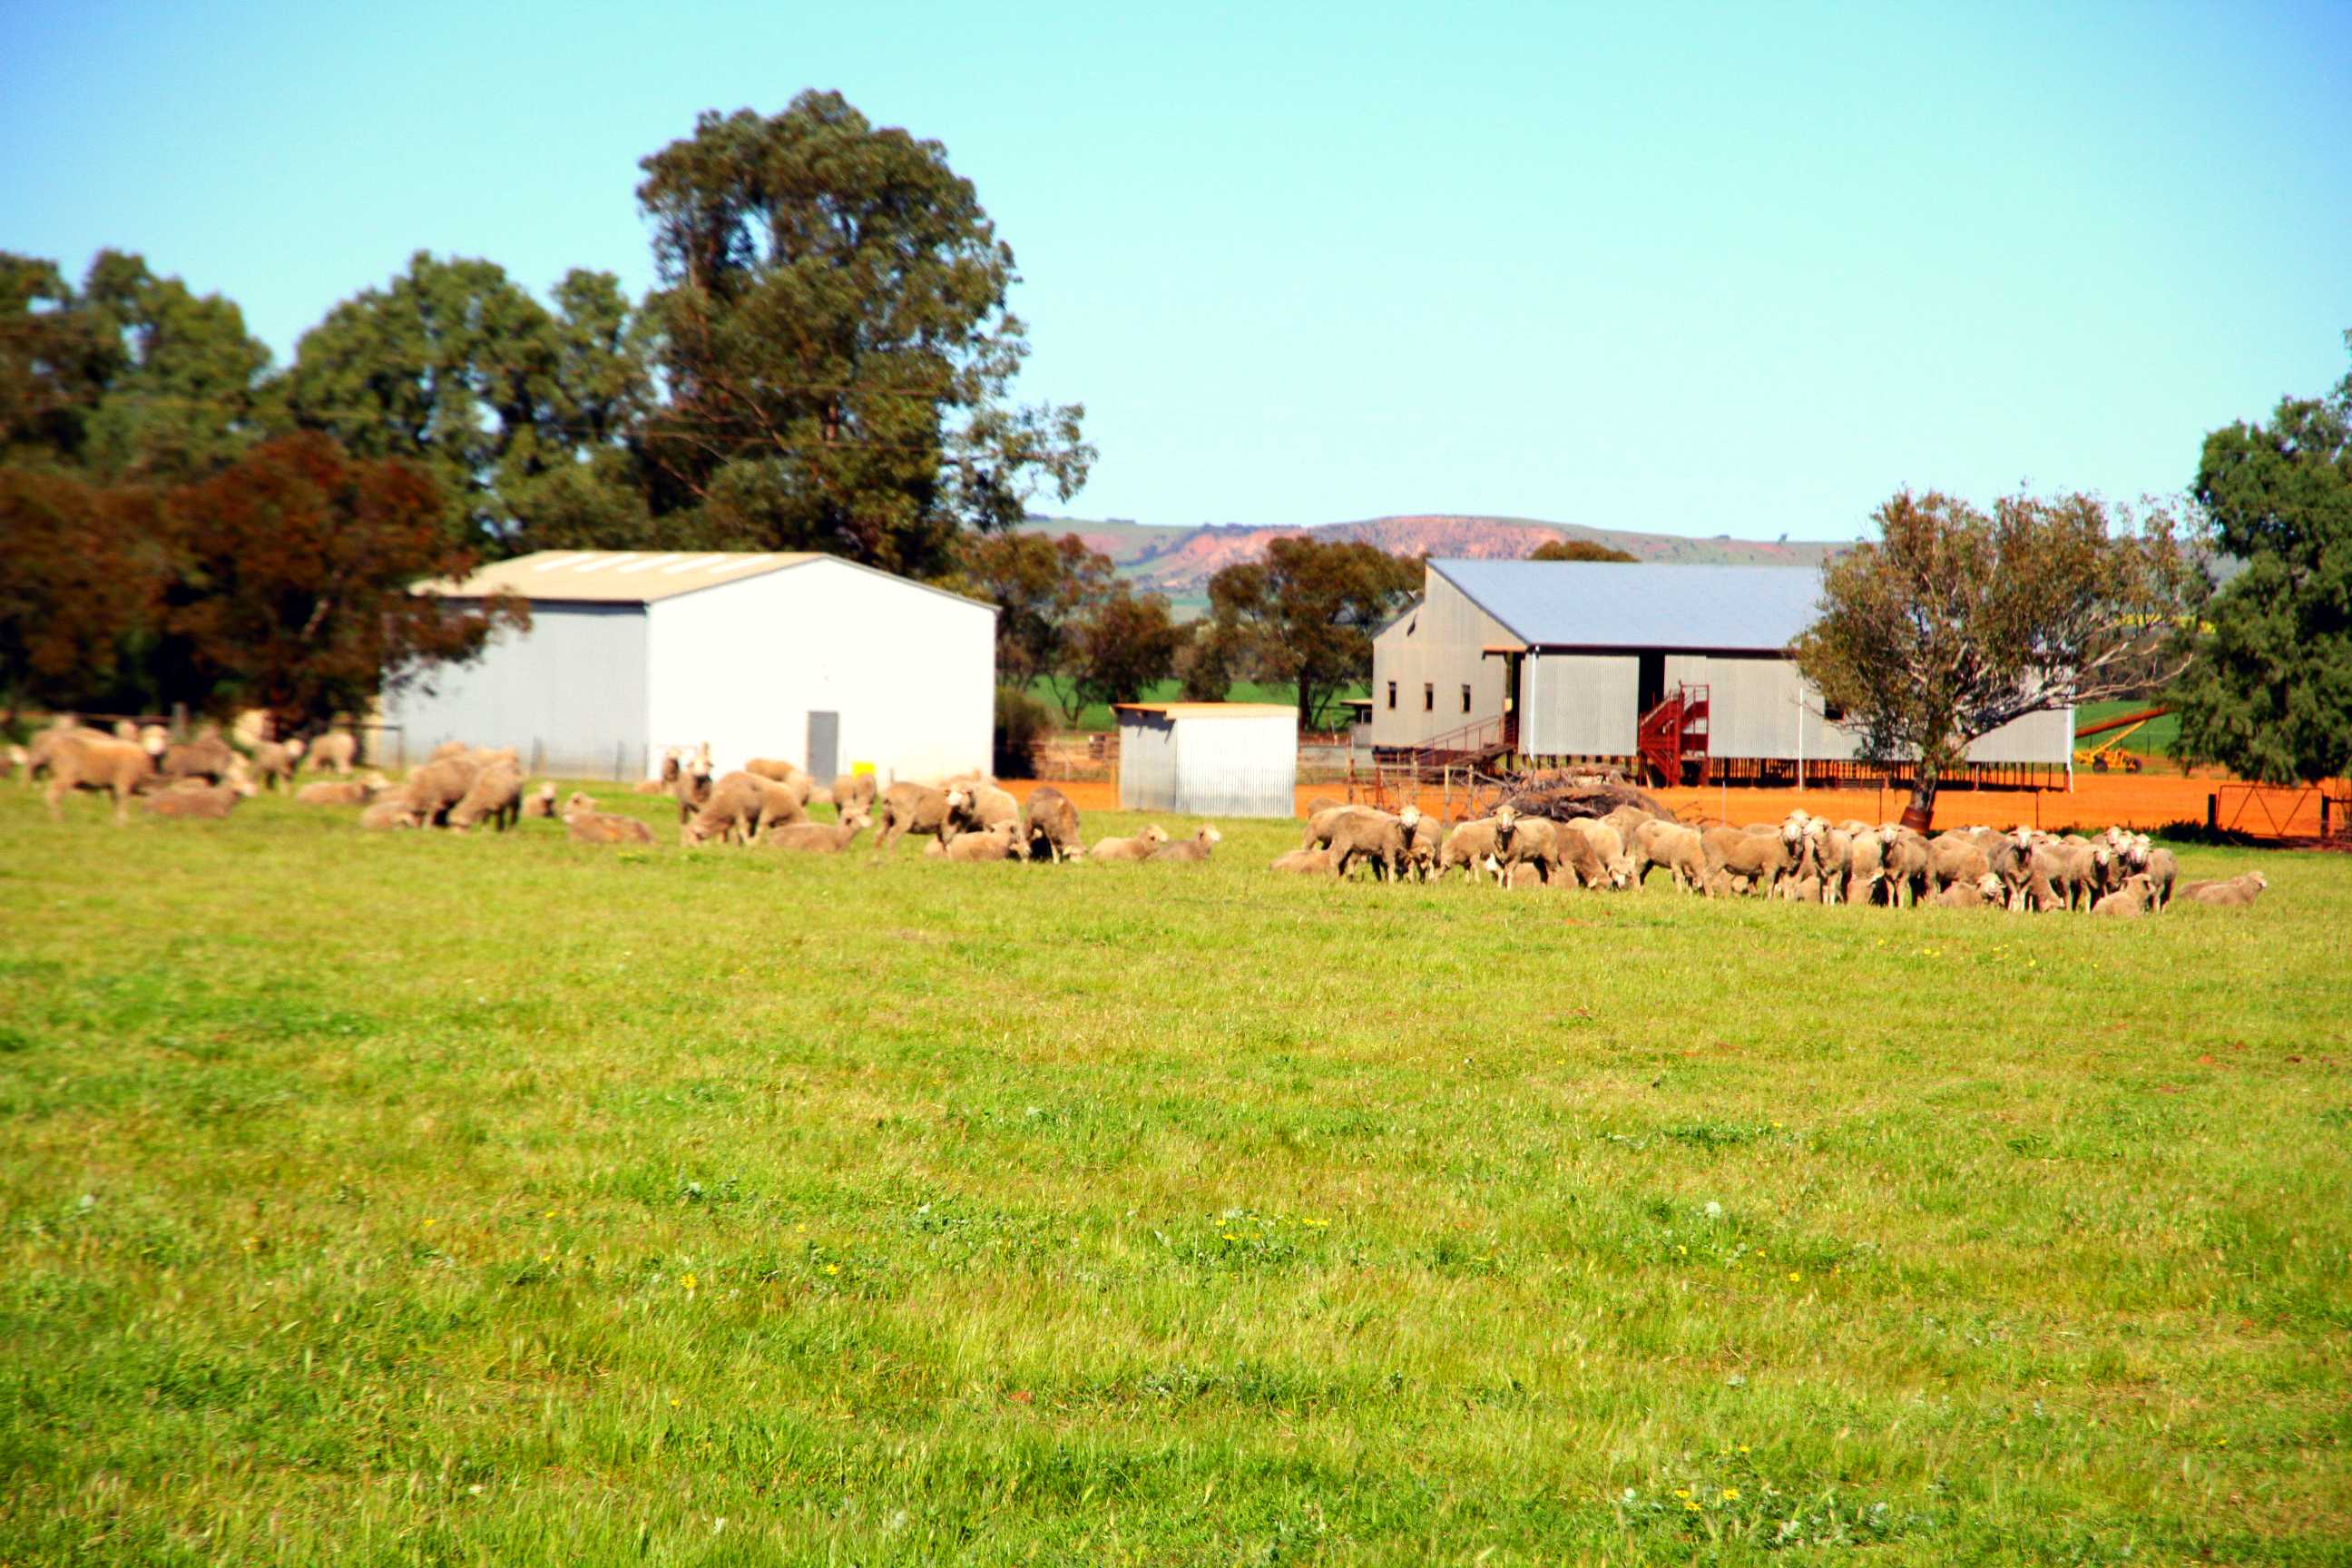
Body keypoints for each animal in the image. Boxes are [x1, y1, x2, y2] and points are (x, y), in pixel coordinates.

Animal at [43, 731, 166, 823]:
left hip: (55, 776)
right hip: (64, 776)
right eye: (148, 736)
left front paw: (114, 822)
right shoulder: (123, 781)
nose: (155, 750)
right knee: (52, 796)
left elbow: (116, 801)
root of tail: (53, 749)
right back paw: (58, 820)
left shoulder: (116, 786)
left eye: (162, 737)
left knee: (50, 795)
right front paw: (122, 822)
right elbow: (122, 800)